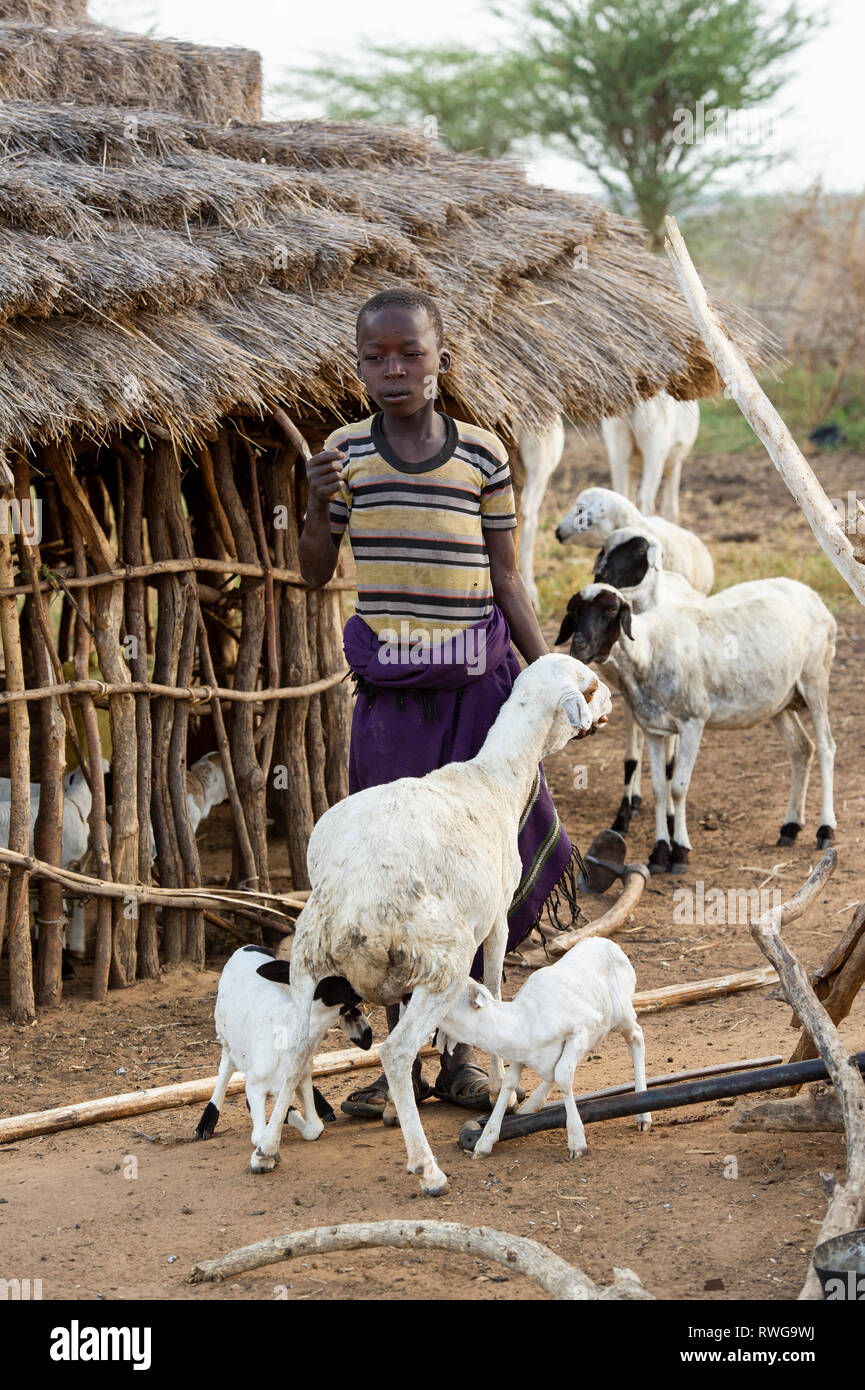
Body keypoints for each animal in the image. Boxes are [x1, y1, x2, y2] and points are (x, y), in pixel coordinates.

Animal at [194, 944, 373, 1147]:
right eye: (330, 977)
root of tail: (248, 946)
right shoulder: (255, 1087)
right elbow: (261, 1132)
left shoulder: (301, 1078)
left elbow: (314, 1129)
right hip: (224, 1035)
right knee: (225, 1068)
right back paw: (206, 1123)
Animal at [246, 653, 611, 1195]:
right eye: (588, 687)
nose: (609, 703)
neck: (493, 780)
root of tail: (354, 906)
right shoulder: (496, 921)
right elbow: (495, 987)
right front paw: (502, 1085)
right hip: (443, 959)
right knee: (395, 1051)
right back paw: (428, 1168)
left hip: (308, 964)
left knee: (295, 1048)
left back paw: (267, 1150)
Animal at [437, 937, 650, 1159]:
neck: (524, 1020)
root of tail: (607, 942)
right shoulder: (521, 1055)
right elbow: (510, 1082)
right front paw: (484, 1142)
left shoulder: (582, 1029)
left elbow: (563, 1075)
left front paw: (577, 1141)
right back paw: (530, 1106)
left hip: (621, 1014)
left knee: (636, 1038)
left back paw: (642, 1114)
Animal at [558, 566, 837, 873]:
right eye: (574, 610)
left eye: (610, 609)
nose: (579, 647)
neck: (650, 649)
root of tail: (809, 592)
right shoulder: (654, 729)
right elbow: (659, 789)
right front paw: (659, 852)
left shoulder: (693, 722)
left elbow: (678, 788)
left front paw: (680, 852)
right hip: (780, 701)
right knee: (802, 749)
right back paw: (790, 828)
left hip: (815, 679)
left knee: (826, 747)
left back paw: (825, 830)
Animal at [600, 393, 700, 522]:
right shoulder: (674, 463)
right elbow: (670, 509)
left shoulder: (630, 467)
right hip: (655, 448)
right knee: (646, 499)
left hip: (616, 443)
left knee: (620, 494)